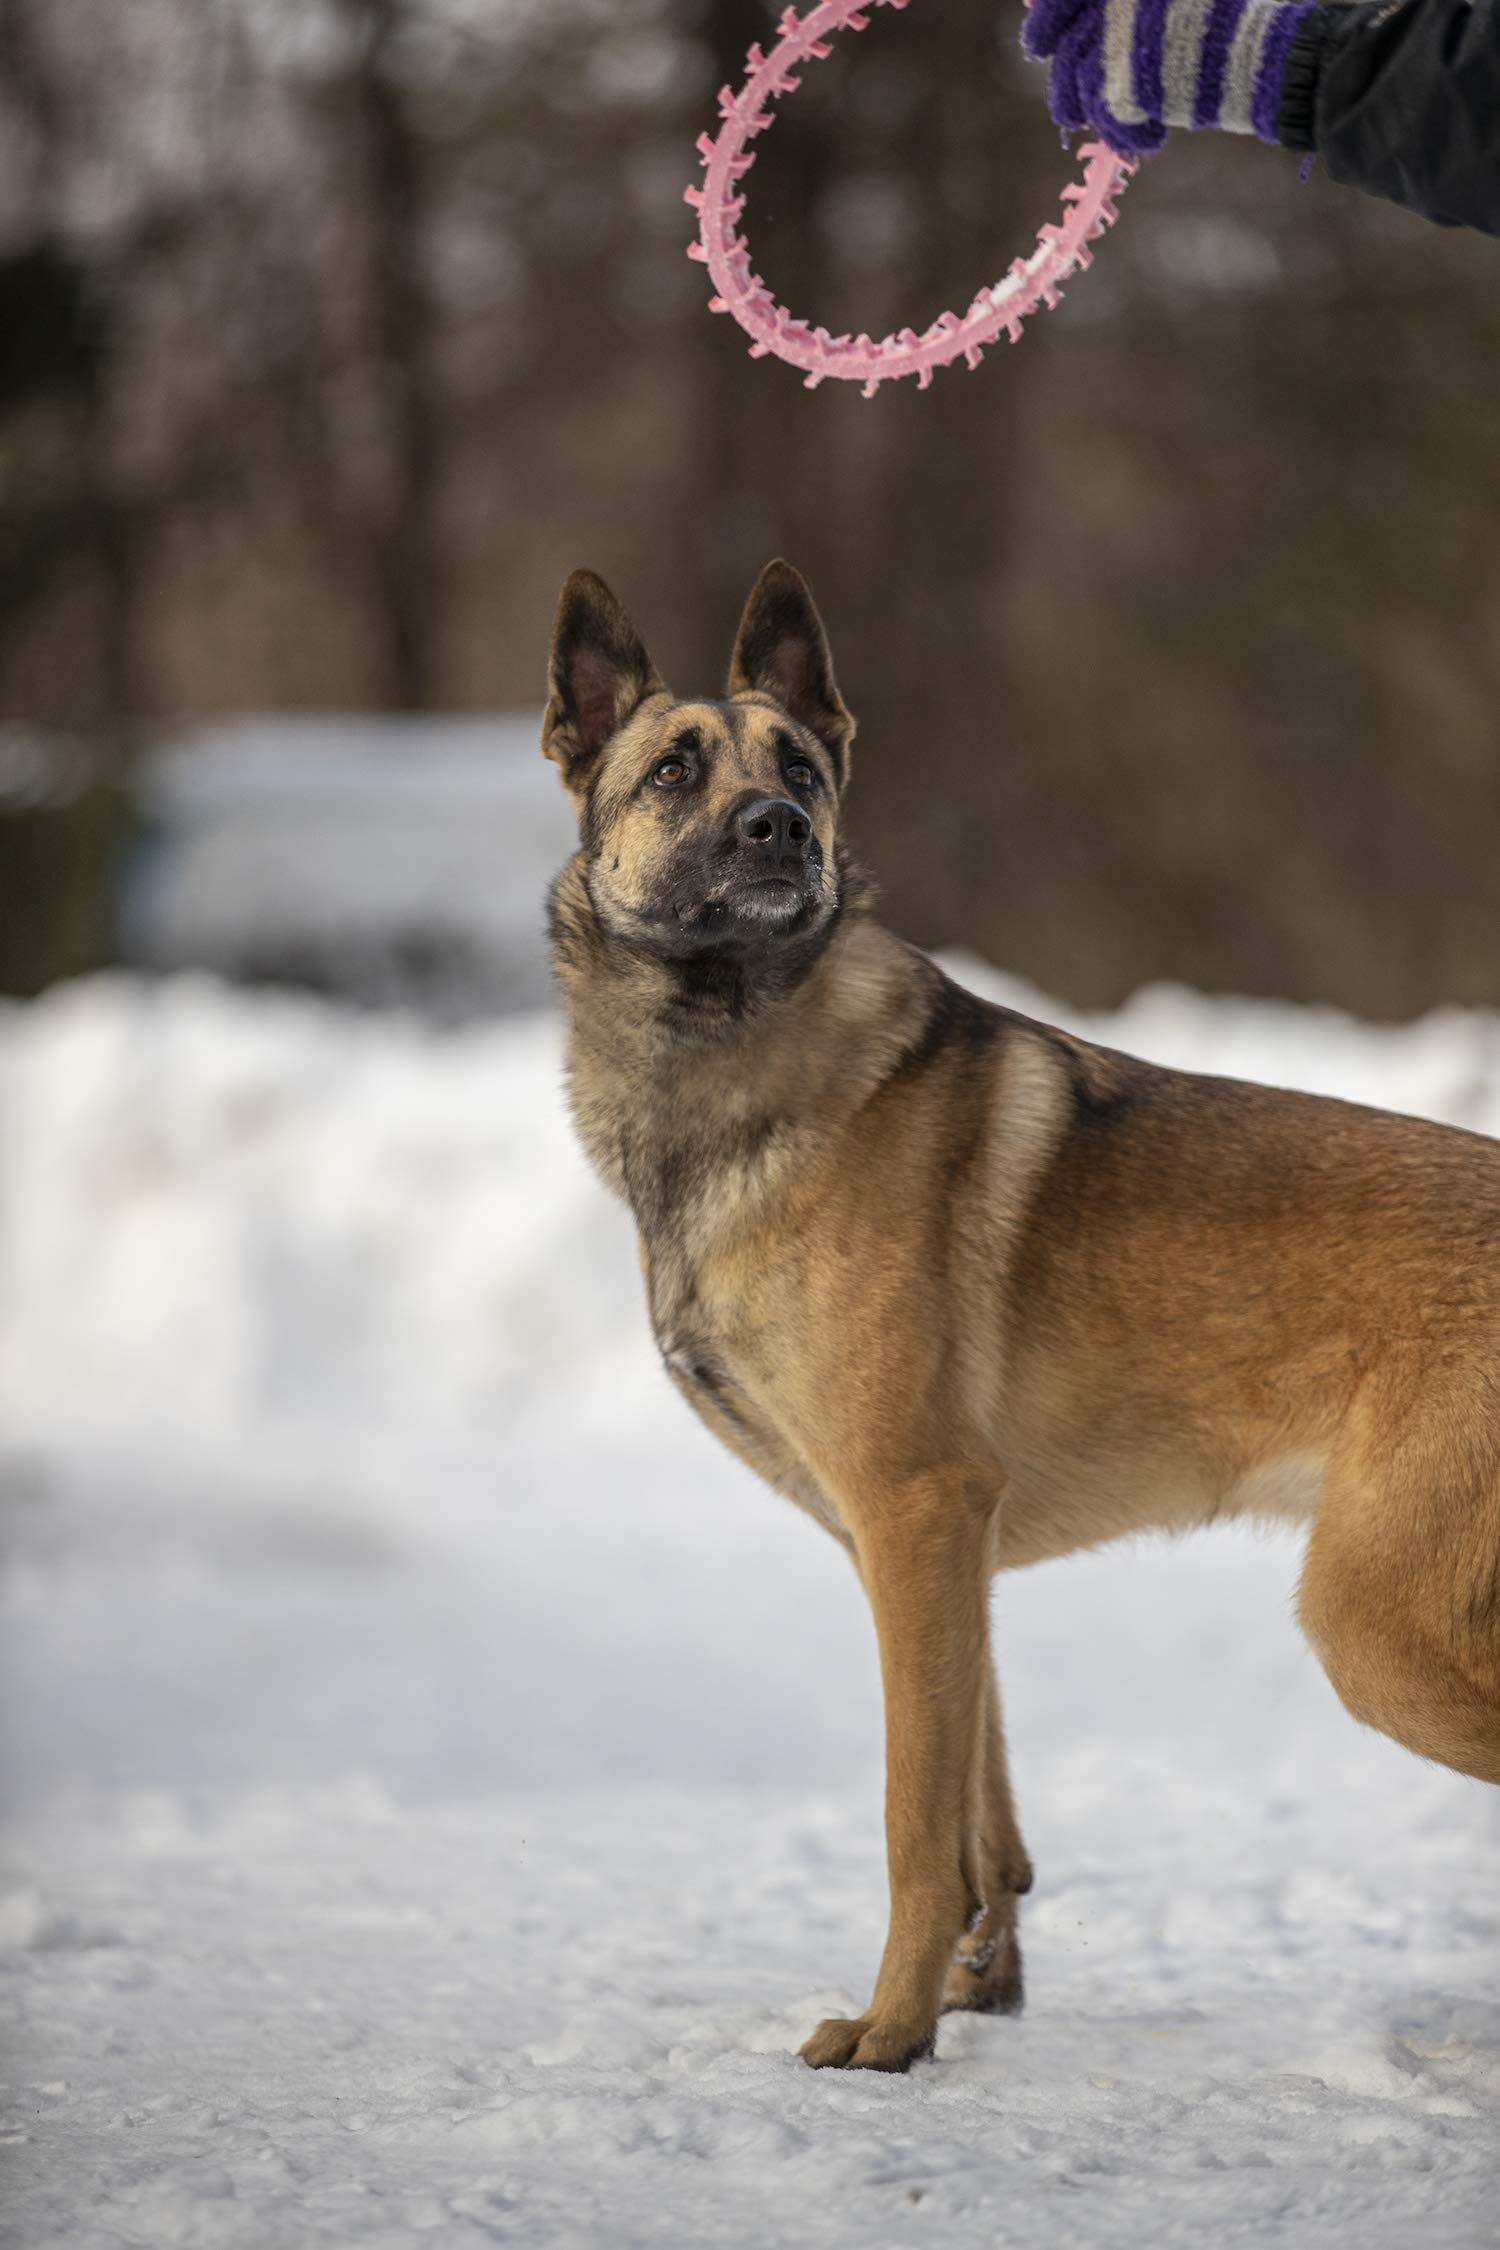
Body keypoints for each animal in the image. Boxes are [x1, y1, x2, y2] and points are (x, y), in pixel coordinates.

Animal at [546, 553, 1500, 2061]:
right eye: (673, 770)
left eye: (801, 769)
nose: (779, 829)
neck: (743, 1048)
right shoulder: (942, 1551)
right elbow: (981, 1813)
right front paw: (972, 1986)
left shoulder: (915, 1516)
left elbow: (909, 1821)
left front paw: (890, 2036)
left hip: (1377, 1625)